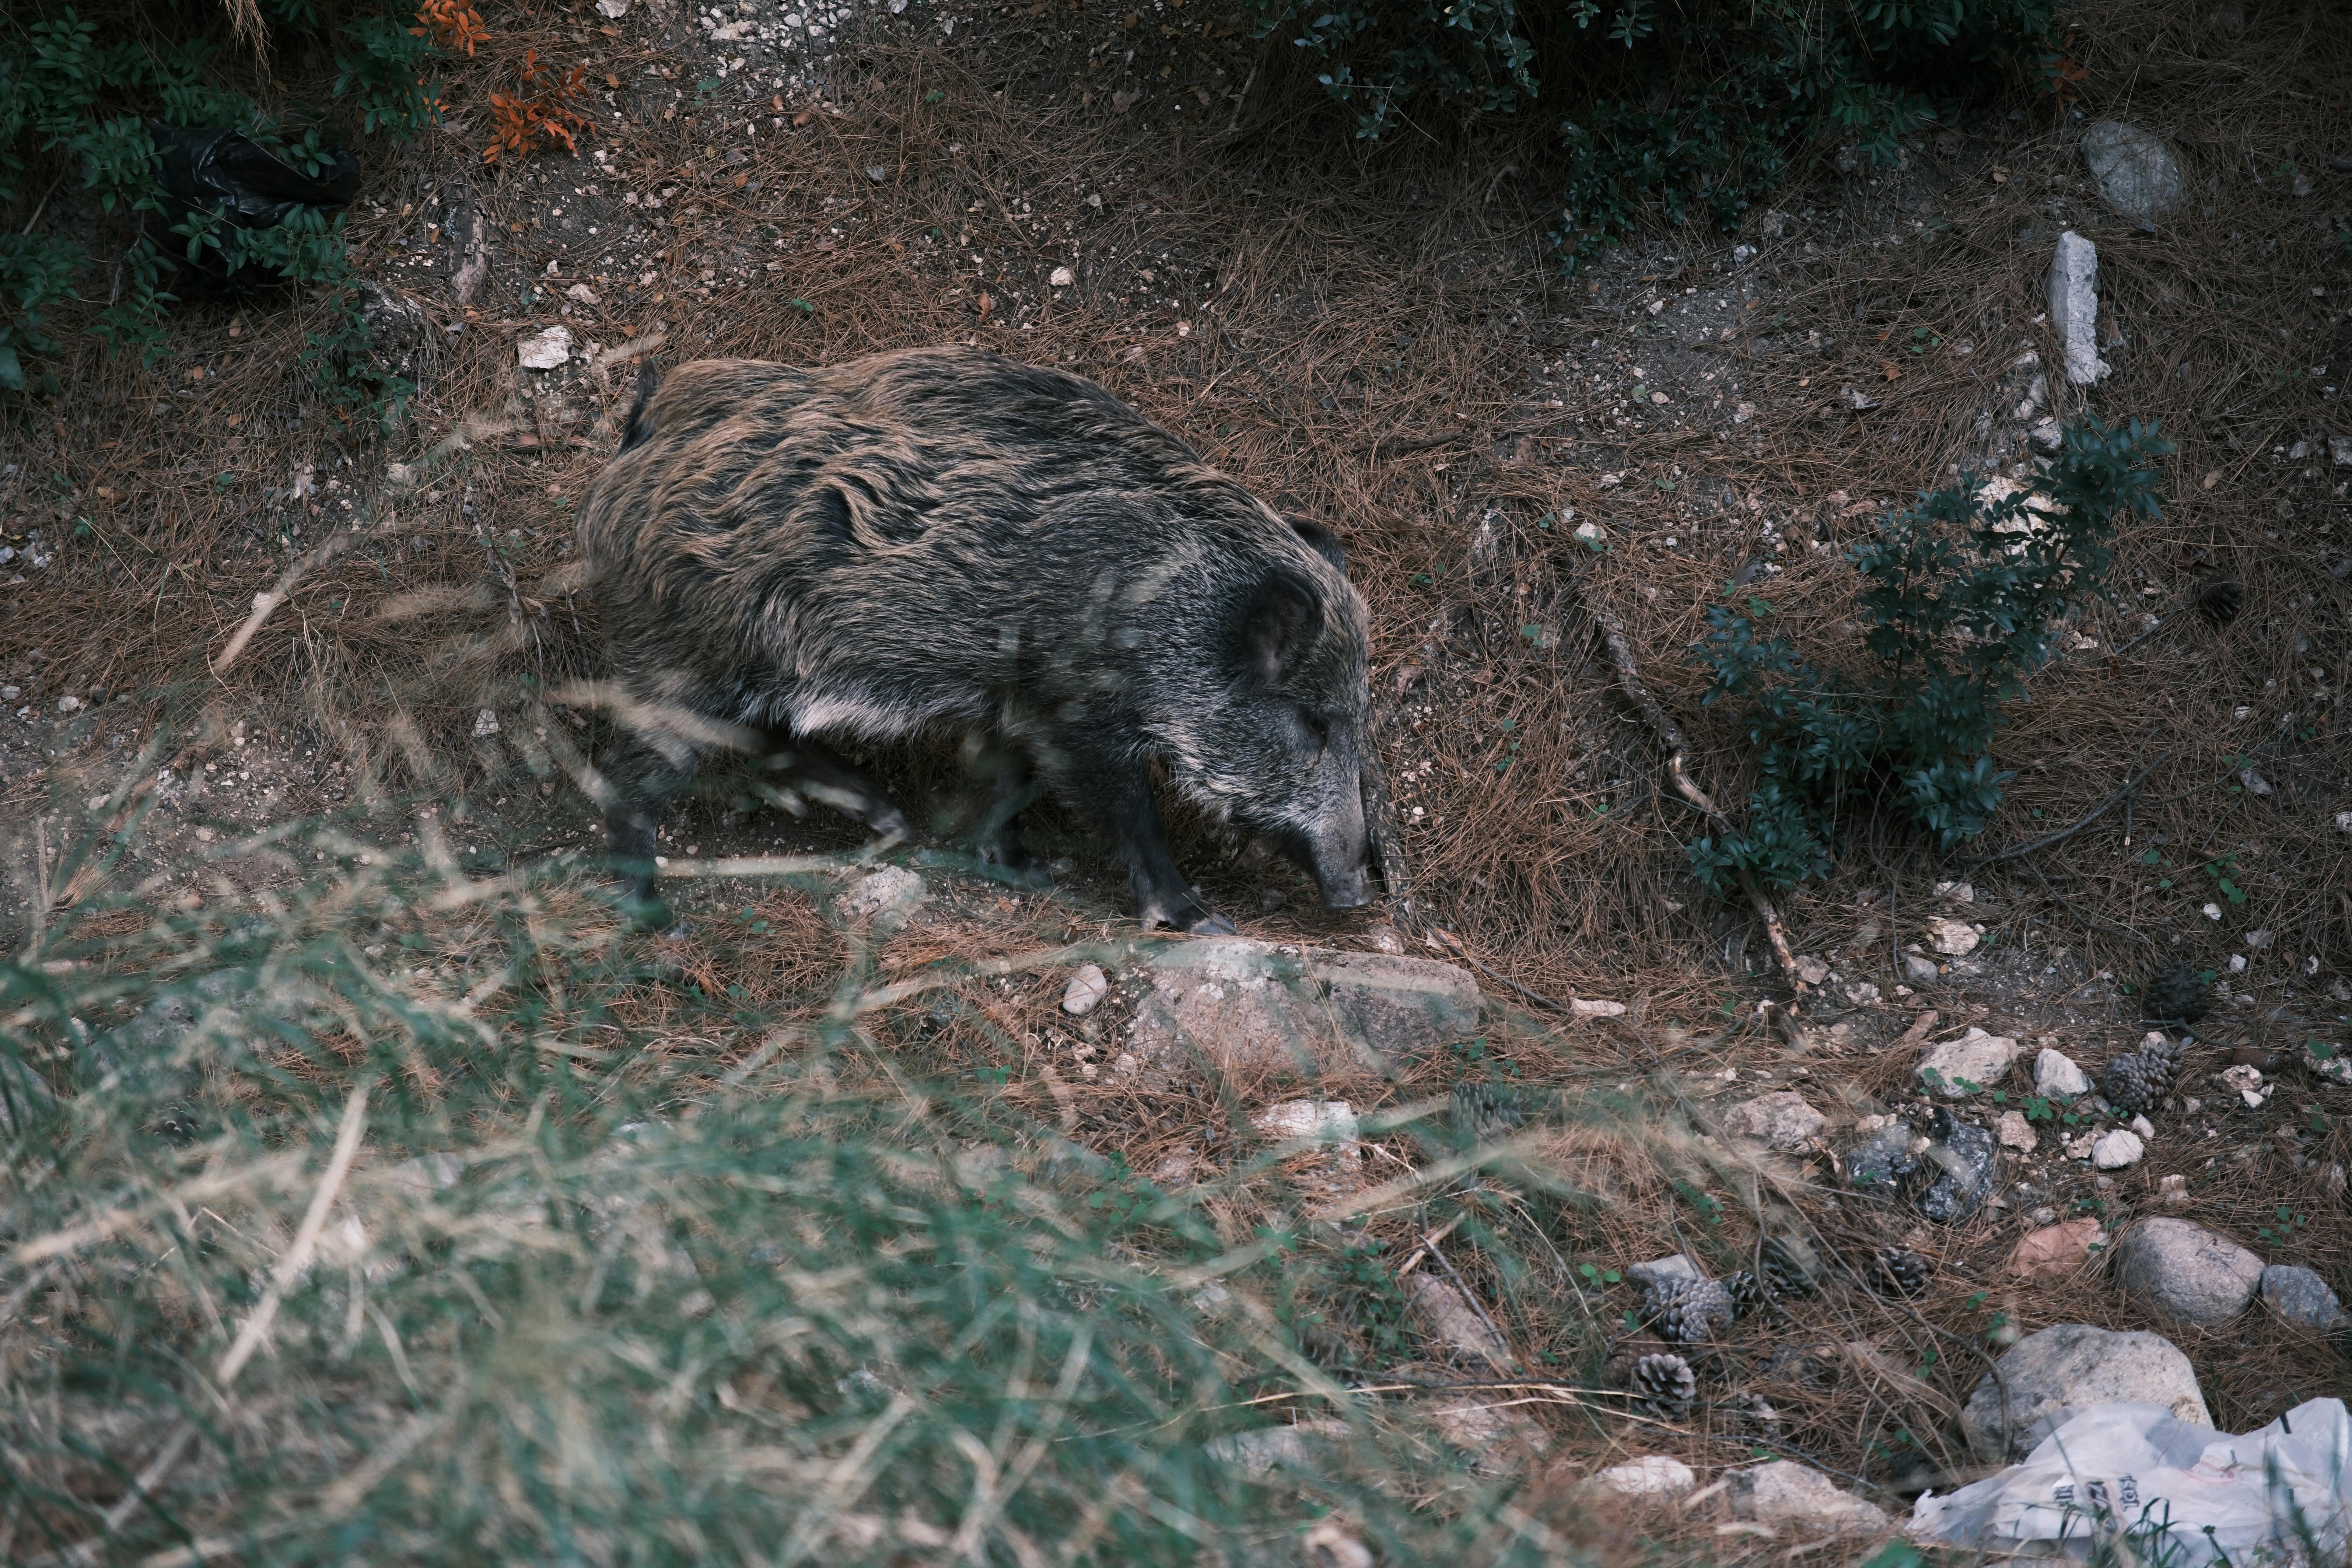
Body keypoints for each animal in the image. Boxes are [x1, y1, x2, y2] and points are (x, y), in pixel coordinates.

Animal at [574, 345, 1372, 931]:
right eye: (1313, 721)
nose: (1358, 895)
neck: (1179, 606)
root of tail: (639, 436)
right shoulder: (1078, 713)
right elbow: (1128, 813)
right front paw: (1197, 920)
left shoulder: (1019, 701)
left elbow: (1008, 782)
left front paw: (1014, 868)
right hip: (679, 659)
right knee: (632, 775)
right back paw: (655, 917)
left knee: (767, 739)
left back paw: (891, 822)